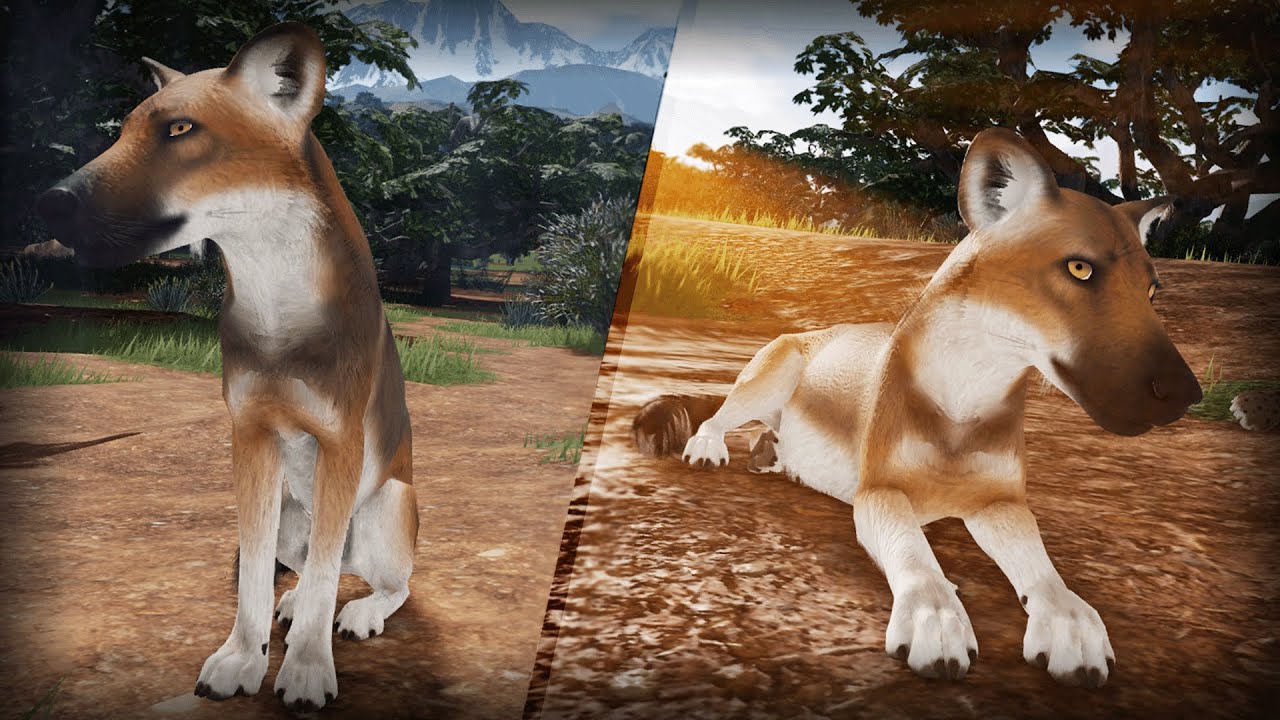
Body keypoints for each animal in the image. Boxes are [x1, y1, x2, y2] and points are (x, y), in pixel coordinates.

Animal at [37, 23, 419, 712]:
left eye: (181, 130)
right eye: (123, 132)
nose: (48, 202)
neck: (276, 306)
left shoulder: (340, 443)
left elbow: (324, 578)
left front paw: (306, 670)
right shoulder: (250, 437)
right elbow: (254, 577)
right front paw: (243, 659)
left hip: (386, 507)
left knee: (381, 581)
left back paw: (358, 613)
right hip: (297, 512)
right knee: (306, 570)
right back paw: (292, 606)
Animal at [633, 128, 1202, 687]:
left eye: (1152, 291)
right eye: (1080, 268)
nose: (1186, 393)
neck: (969, 392)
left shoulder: (1000, 502)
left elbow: (1040, 566)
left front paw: (1070, 621)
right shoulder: (880, 494)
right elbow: (914, 551)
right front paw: (936, 619)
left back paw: (772, 454)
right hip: (771, 375)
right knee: (717, 416)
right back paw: (711, 449)